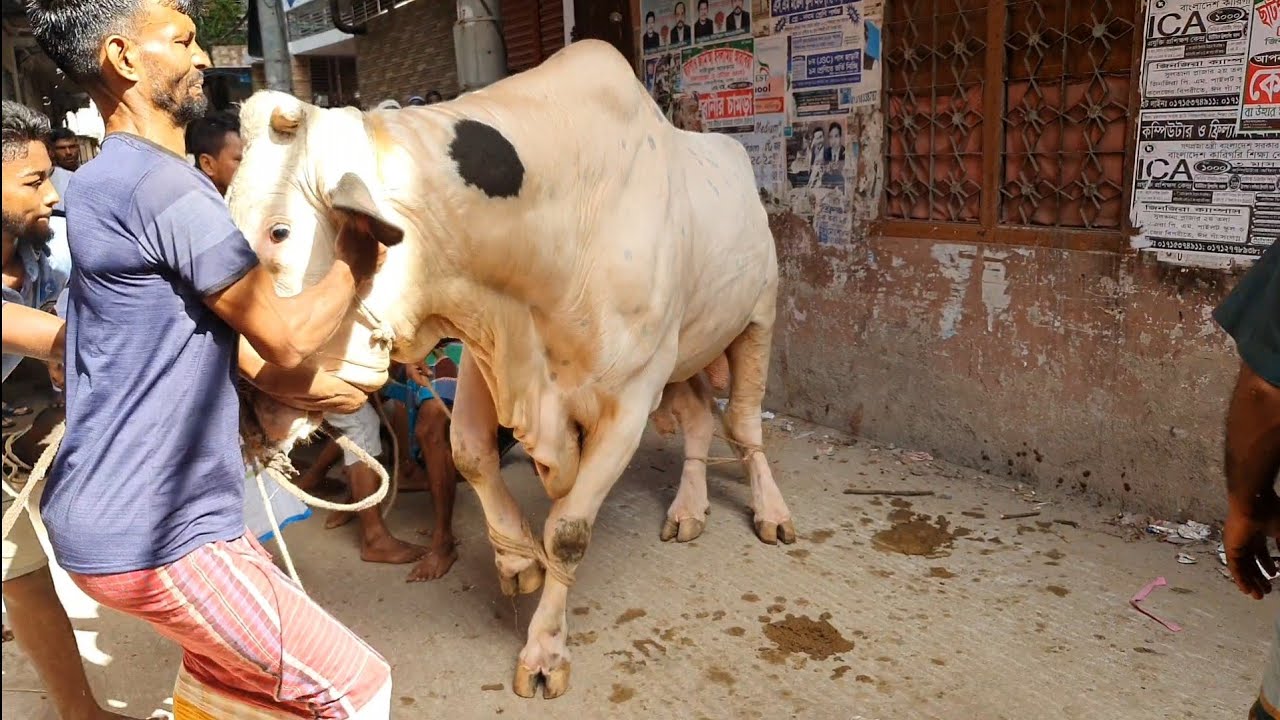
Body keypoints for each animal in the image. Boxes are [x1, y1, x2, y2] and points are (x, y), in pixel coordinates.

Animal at [226, 39, 796, 699]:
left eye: (280, 231)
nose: (243, 403)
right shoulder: (487, 356)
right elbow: (470, 452)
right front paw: (517, 558)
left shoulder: (631, 398)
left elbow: (569, 530)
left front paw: (545, 650)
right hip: (688, 350)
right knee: (701, 419)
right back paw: (687, 510)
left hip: (757, 320)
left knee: (743, 424)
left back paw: (772, 512)